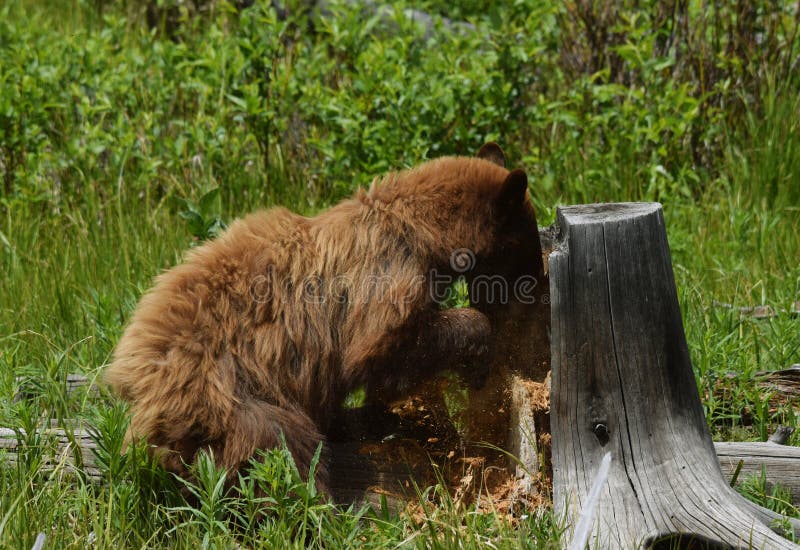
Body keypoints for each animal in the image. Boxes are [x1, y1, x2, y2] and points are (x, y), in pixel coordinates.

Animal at [104, 143, 543, 495]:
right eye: (530, 241)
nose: (537, 285)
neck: (421, 230)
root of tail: (137, 390)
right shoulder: (386, 274)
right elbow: (382, 349)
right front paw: (477, 361)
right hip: (229, 399)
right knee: (282, 448)